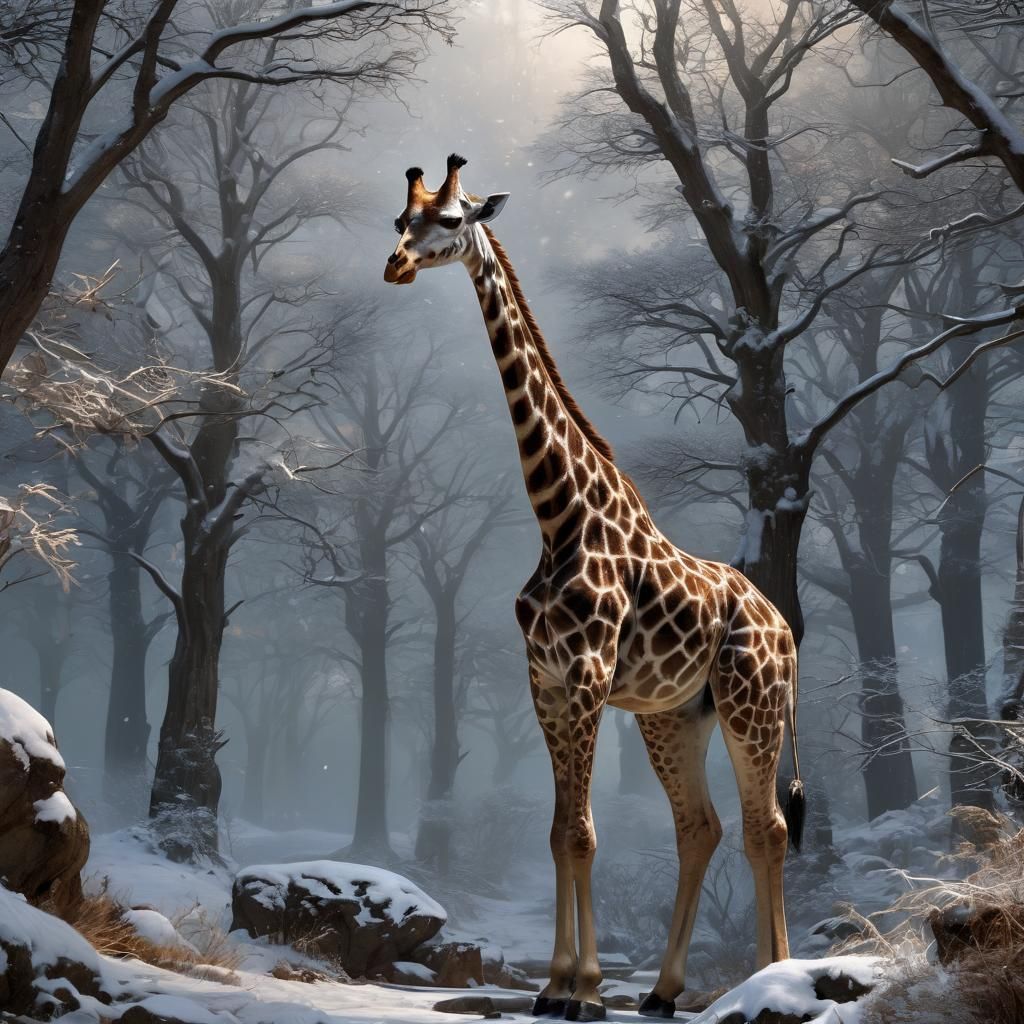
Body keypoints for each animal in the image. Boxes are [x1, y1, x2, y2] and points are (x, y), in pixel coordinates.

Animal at [384, 155, 805, 1022]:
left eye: (452, 221)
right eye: (399, 221)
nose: (397, 266)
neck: (558, 514)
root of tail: (784, 627)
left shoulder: (584, 674)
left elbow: (580, 831)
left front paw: (579, 990)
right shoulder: (543, 680)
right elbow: (558, 832)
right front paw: (557, 986)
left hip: (753, 704)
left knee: (767, 828)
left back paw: (767, 981)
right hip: (673, 715)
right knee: (702, 827)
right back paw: (664, 992)